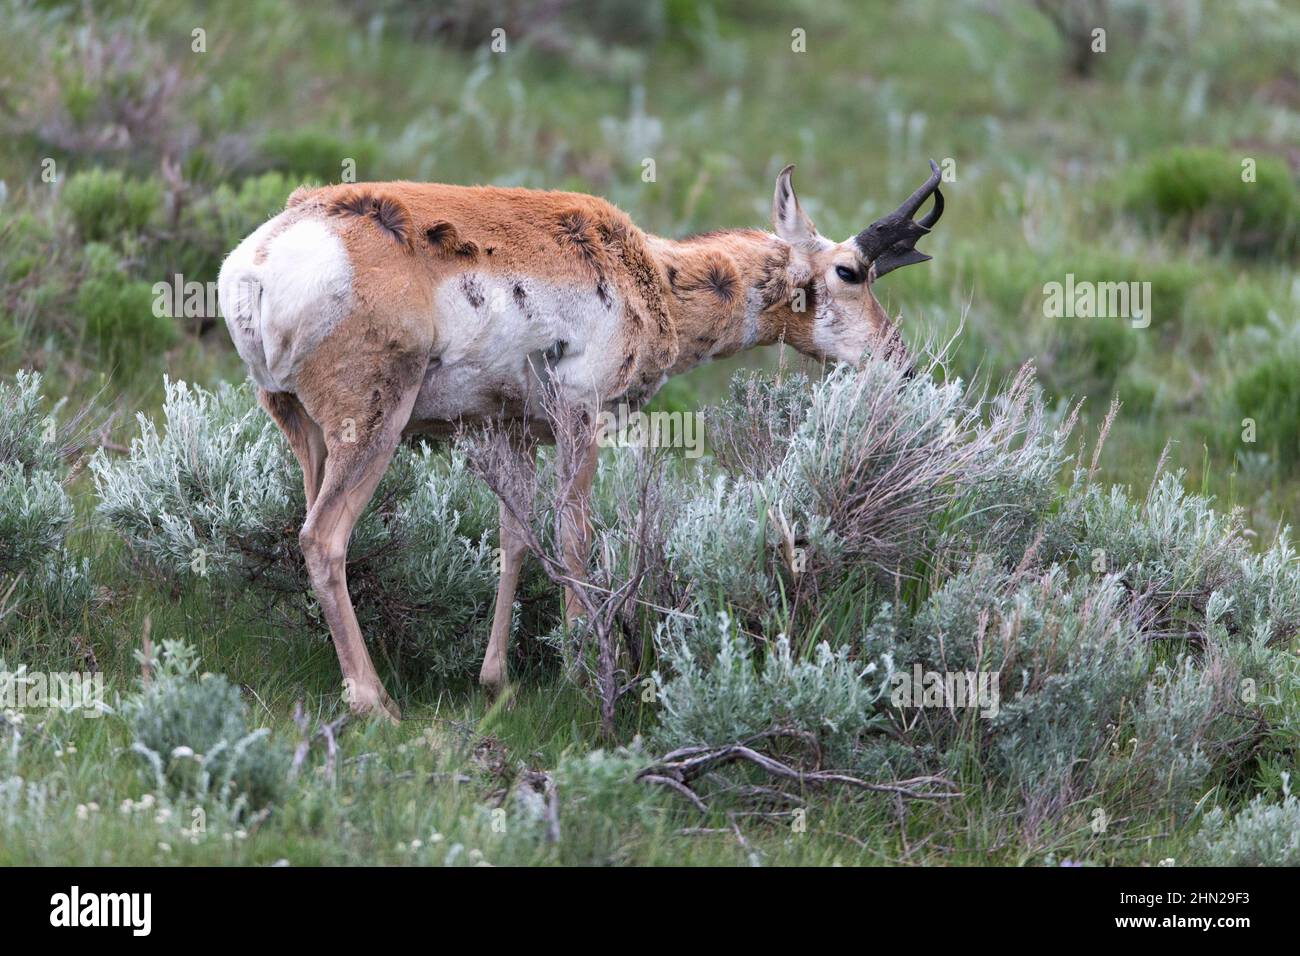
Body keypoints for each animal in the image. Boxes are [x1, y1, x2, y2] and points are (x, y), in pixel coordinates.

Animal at [218, 161, 944, 722]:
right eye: (850, 271)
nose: (901, 364)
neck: (651, 272)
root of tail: (261, 260)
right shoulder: (581, 419)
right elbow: (574, 538)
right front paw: (579, 669)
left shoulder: (509, 434)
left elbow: (516, 538)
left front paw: (497, 679)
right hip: (373, 426)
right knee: (323, 538)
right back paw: (375, 702)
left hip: (302, 429)